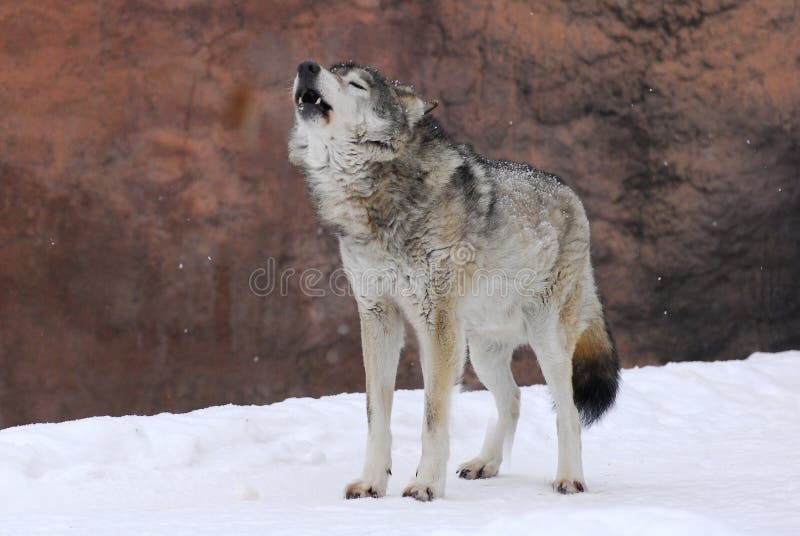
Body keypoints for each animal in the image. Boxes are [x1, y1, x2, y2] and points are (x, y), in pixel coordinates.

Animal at [288, 60, 619, 501]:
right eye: (329, 68)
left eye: (356, 84)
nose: (306, 66)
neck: (377, 199)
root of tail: (574, 197)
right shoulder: (377, 315)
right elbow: (376, 413)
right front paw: (372, 483)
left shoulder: (437, 323)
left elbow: (433, 416)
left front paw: (425, 485)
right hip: (480, 352)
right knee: (514, 398)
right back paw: (485, 464)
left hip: (545, 341)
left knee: (568, 412)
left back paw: (569, 478)